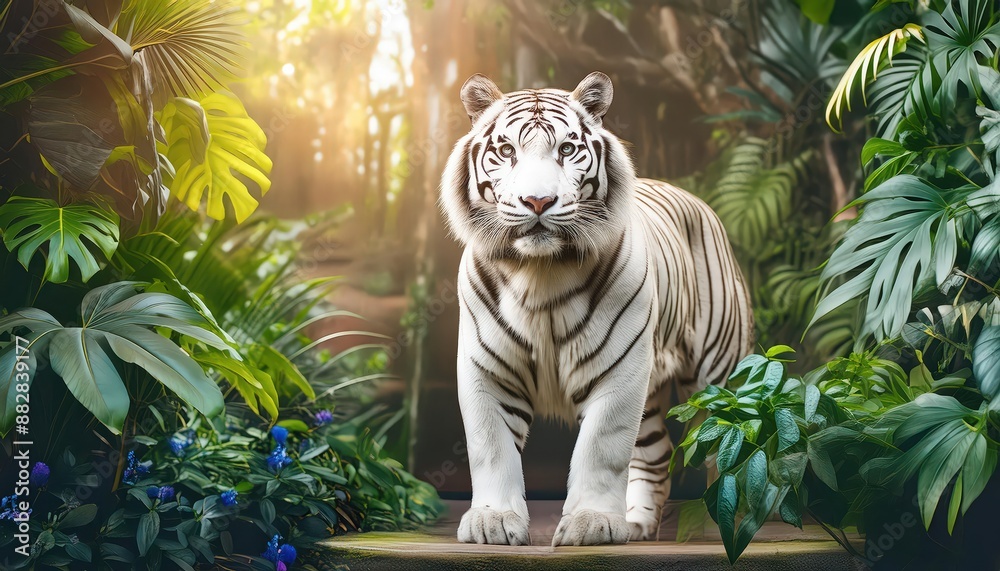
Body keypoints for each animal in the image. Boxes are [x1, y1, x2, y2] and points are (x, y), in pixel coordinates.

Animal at [439, 71, 753, 546]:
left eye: (566, 150)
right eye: (507, 151)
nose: (537, 202)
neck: (540, 272)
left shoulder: (621, 367)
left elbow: (601, 447)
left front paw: (592, 522)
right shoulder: (487, 367)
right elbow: (490, 447)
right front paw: (493, 521)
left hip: (716, 372)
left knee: (726, 442)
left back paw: (722, 522)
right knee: (656, 452)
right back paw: (637, 523)